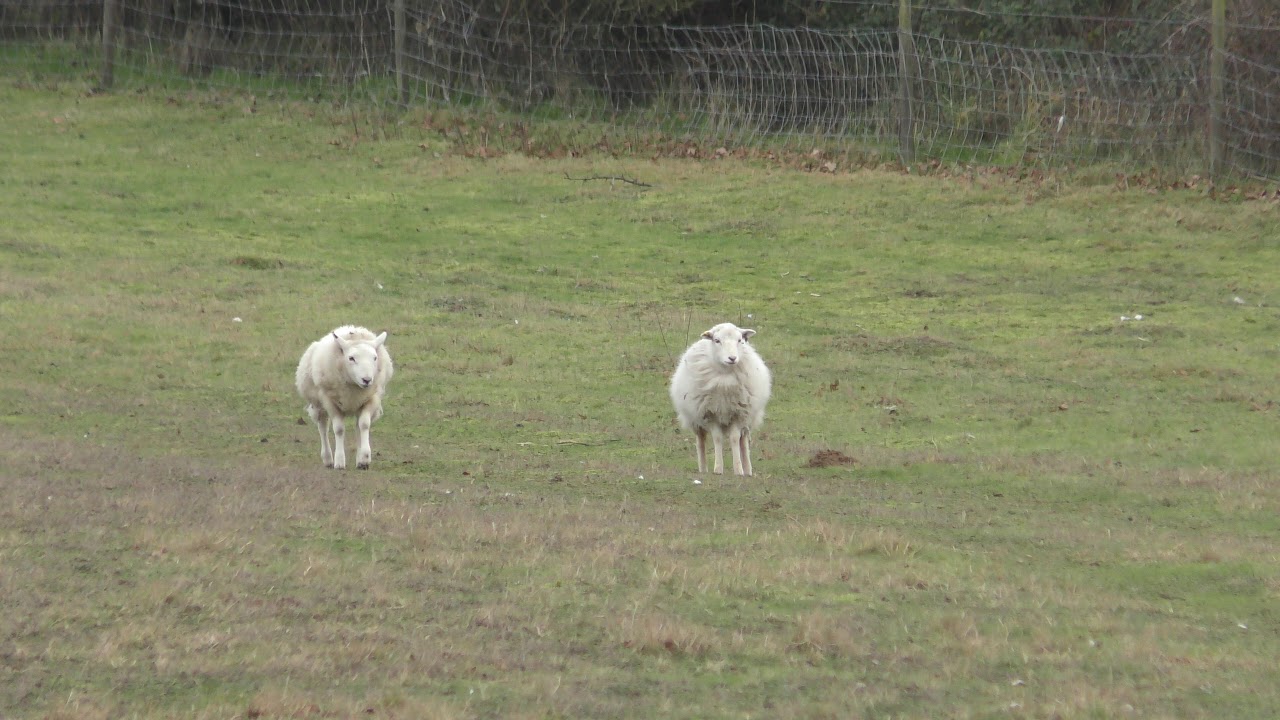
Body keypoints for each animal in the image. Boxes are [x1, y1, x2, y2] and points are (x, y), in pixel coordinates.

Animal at [295, 325, 394, 470]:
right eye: (351, 358)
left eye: (375, 358)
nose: (367, 380)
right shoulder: (329, 402)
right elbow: (339, 429)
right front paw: (339, 461)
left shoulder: (371, 398)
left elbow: (364, 425)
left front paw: (365, 458)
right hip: (318, 404)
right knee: (323, 428)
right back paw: (328, 459)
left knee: (358, 427)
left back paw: (359, 459)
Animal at [669, 322, 772, 476]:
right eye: (717, 340)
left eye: (739, 340)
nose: (732, 358)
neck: (725, 377)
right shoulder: (710, 414)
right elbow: (717, 438)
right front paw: (718, 469)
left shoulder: (738, 414)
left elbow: (735, 438)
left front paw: (738, 469)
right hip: (695, 420)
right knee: (701, 441)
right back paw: (703, 469)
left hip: (747, 419)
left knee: (743, 440)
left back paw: (747, 470)